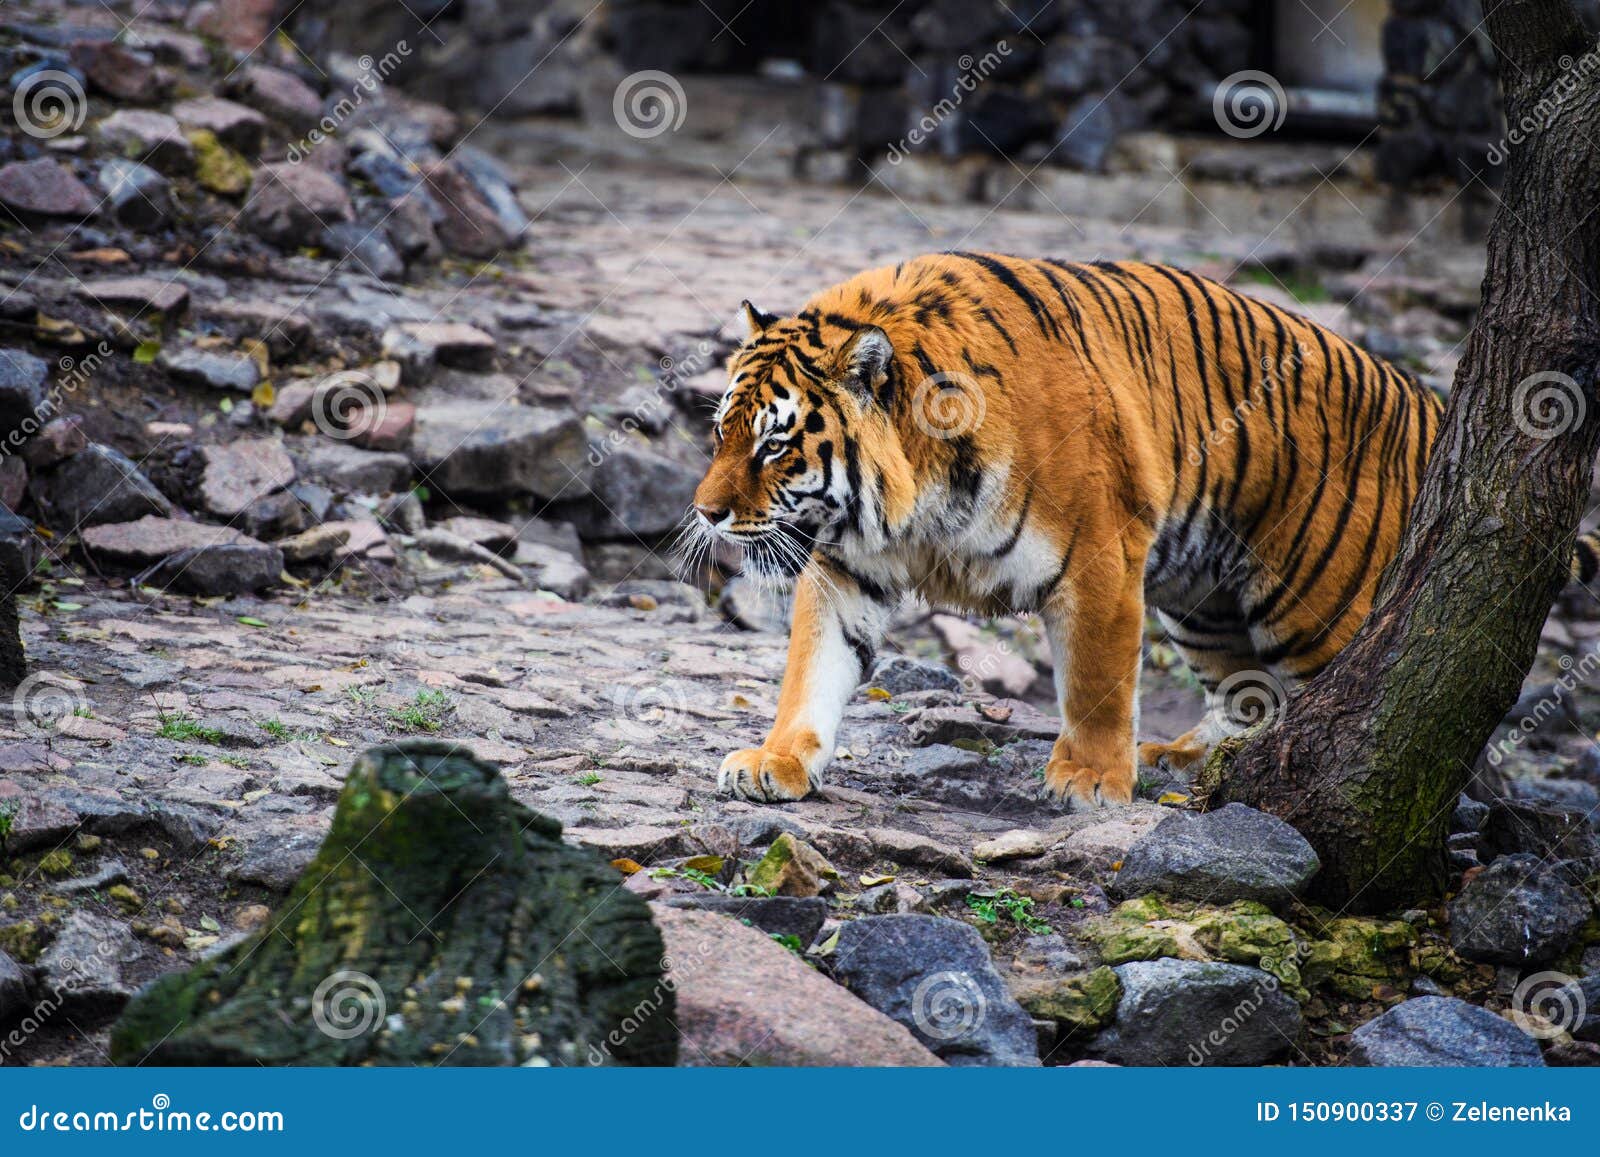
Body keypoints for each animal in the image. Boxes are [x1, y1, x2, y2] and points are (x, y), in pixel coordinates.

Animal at [685, 252, 1600, 807]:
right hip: (1205, 602)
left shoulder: (1100, 553)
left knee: (1372, 706)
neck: (913, 499)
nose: (705, 510)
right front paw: (775, 761)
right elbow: (813, 667)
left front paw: (1089, 780)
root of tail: (1431, 406)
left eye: (773, 444)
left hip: (1323, 607)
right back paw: (1185, 760)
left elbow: (1096, 679)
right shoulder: (850, 567)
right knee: (1251, 696)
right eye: (721, 430)